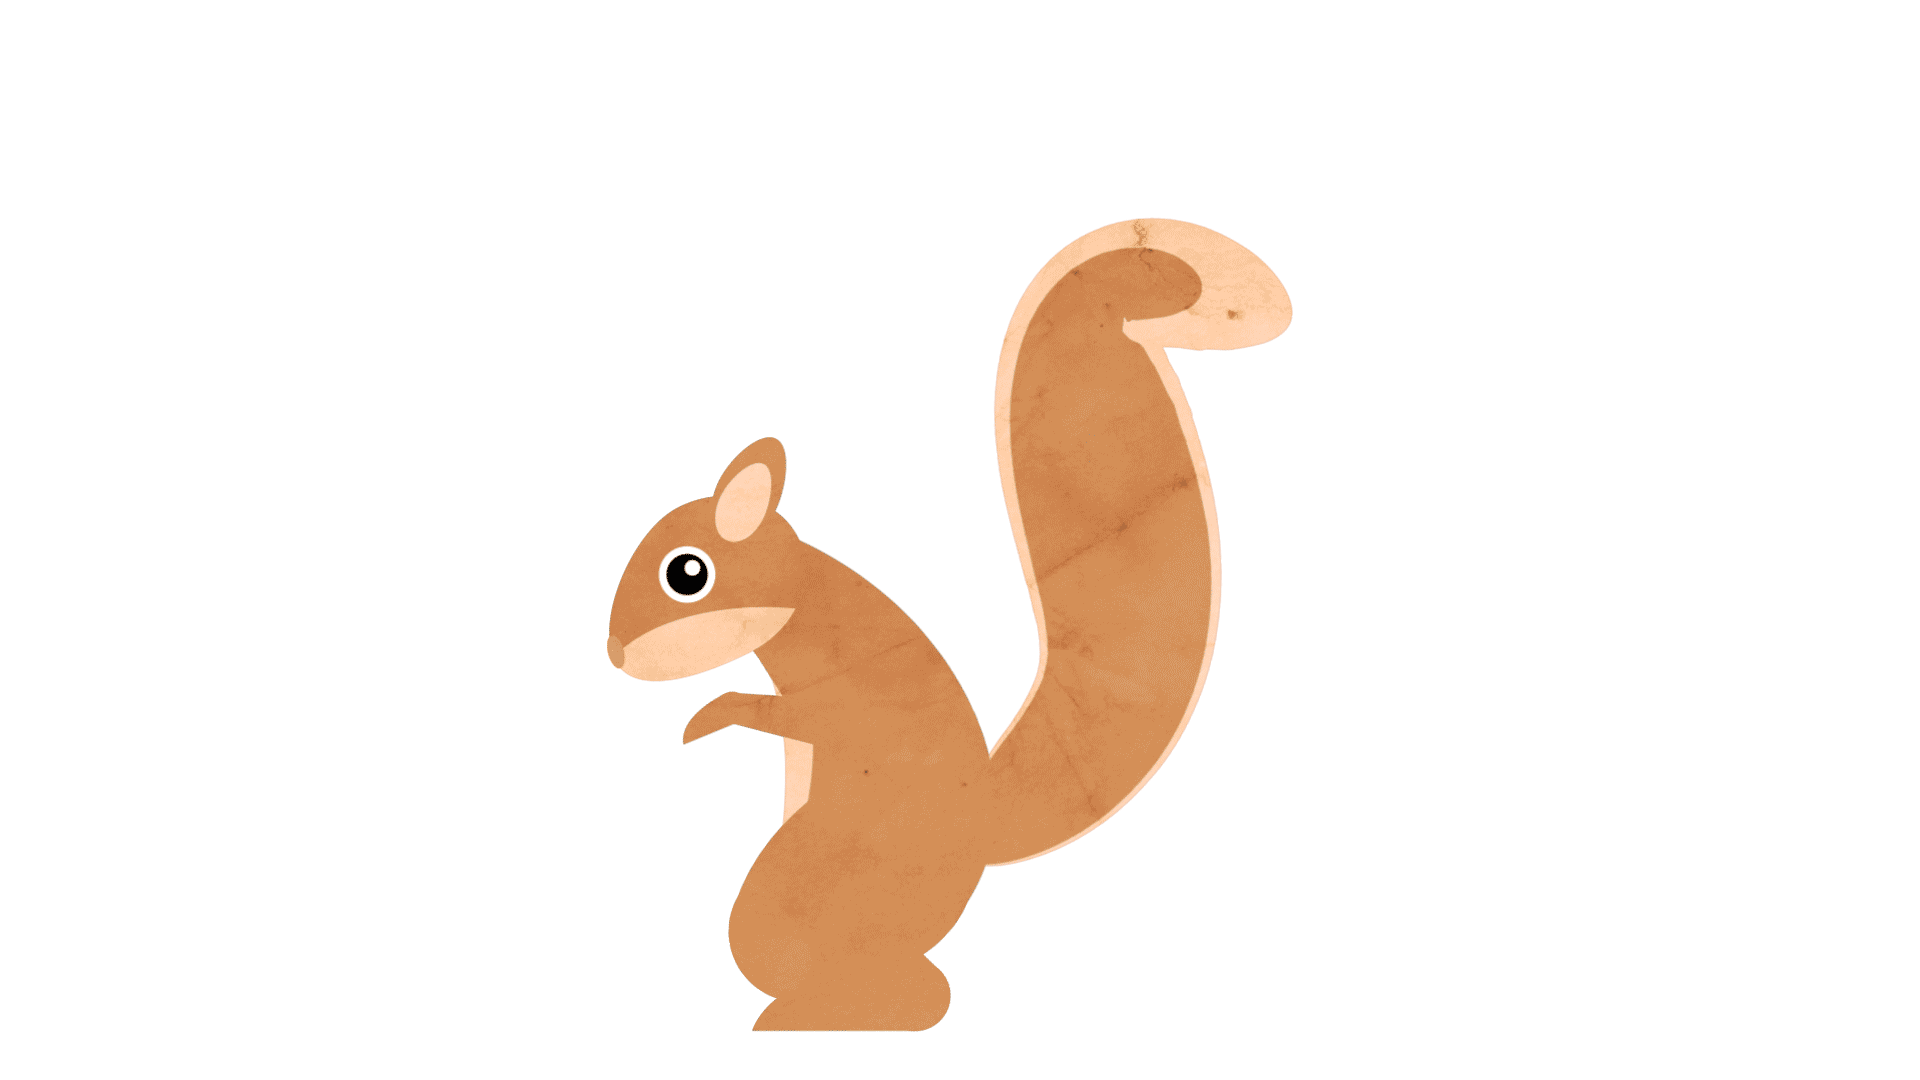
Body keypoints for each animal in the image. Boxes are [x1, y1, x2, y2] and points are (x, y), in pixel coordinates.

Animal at [605, 219, 1291, 1030]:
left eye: (687, 574)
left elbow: (798, 715)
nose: (615, 653)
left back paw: (826, 1011)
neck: (808, 601)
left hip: (820, 878)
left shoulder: (850, 691)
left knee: (892, 981)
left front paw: (718, 712)